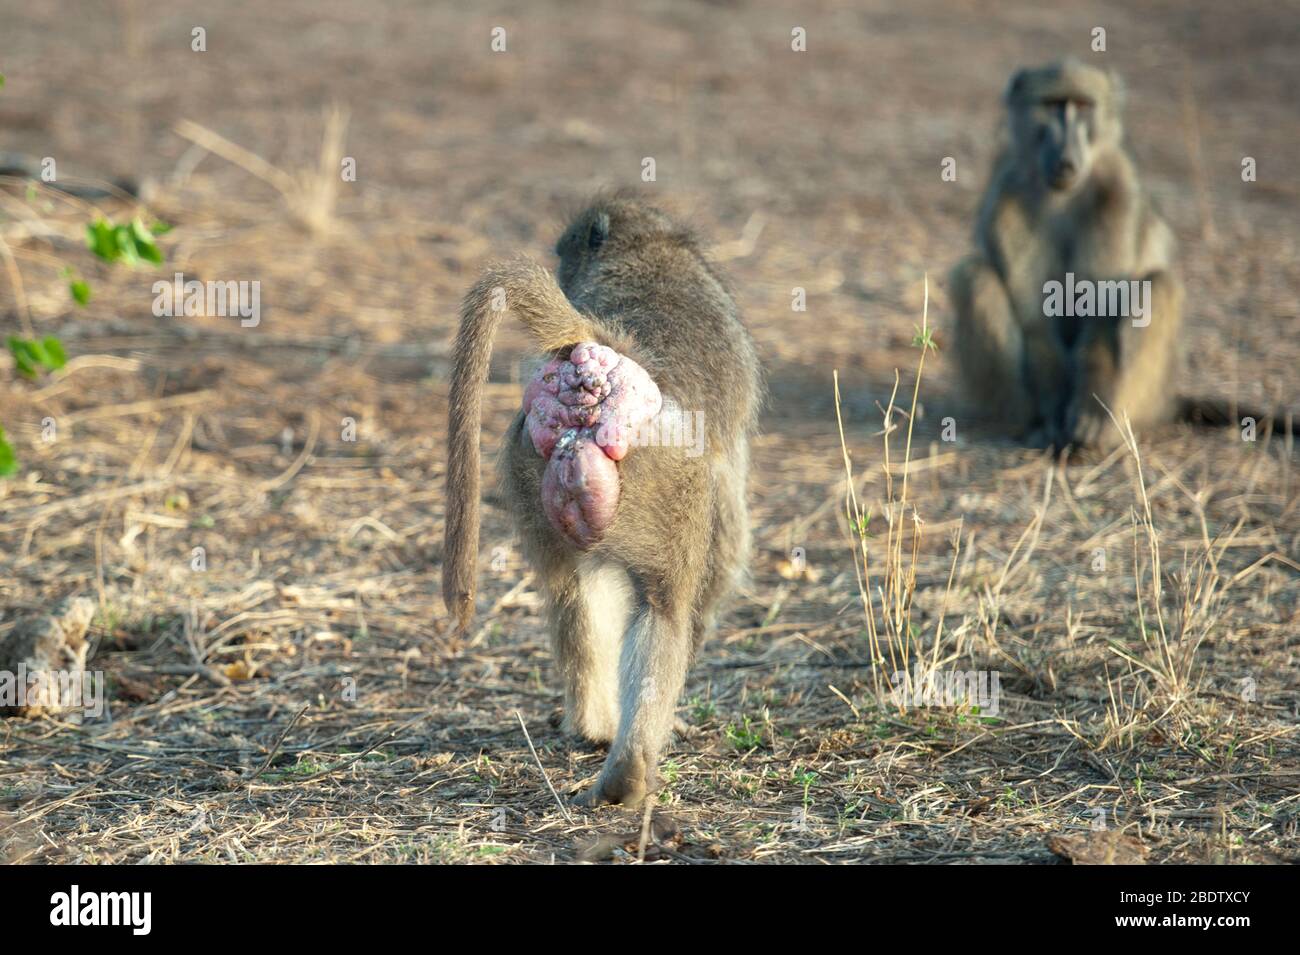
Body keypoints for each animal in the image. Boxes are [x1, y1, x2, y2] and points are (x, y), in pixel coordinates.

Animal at [443, 195, 762, 807]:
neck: (646, 247)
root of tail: (609, 353)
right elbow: (725, 556)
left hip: (530, 465)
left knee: (572, 592)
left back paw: (596, 729)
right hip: (671, 482)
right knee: (665, 610)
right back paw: (629, 770)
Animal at [950, 59, 1186, 451]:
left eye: (1083, 106)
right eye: (1052, 105)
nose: (1065, 158)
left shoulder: (1118, 190)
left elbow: (1103, 312)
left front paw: (1090, 413)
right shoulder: (1008, 191)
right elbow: (1036, 322)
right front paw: (1051, 410)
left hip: (1148, 396)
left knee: (1160, 285)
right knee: (975, 277)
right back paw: (1035, 425)